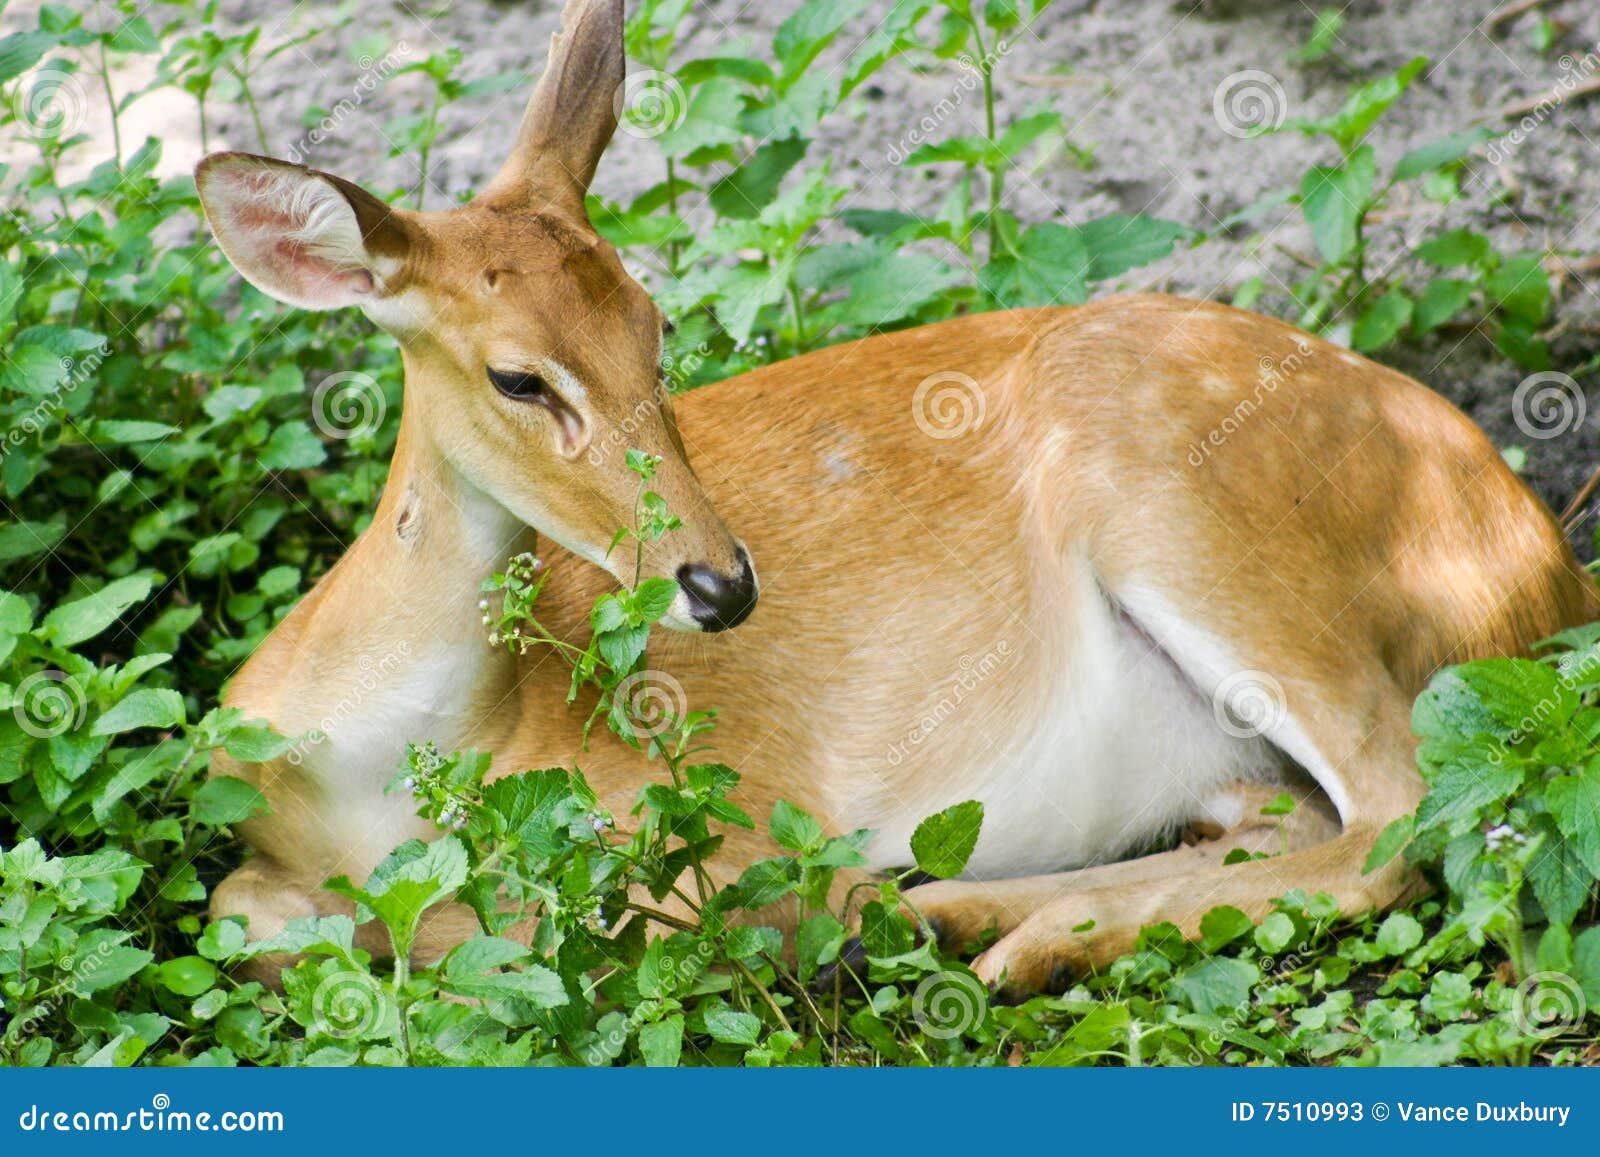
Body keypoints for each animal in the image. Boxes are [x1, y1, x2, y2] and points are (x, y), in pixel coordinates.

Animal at [194, 0, 1596, 997]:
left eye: (656, 331)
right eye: (517, 375)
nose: (720, 581)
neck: (393, 752)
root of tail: (1539, 554)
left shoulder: (723, 818)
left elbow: (587, 920)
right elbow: (244, 912)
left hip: (1199, 521)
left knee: (1409, 816)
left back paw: (986, 933)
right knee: (1301, 814)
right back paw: (968, 914)